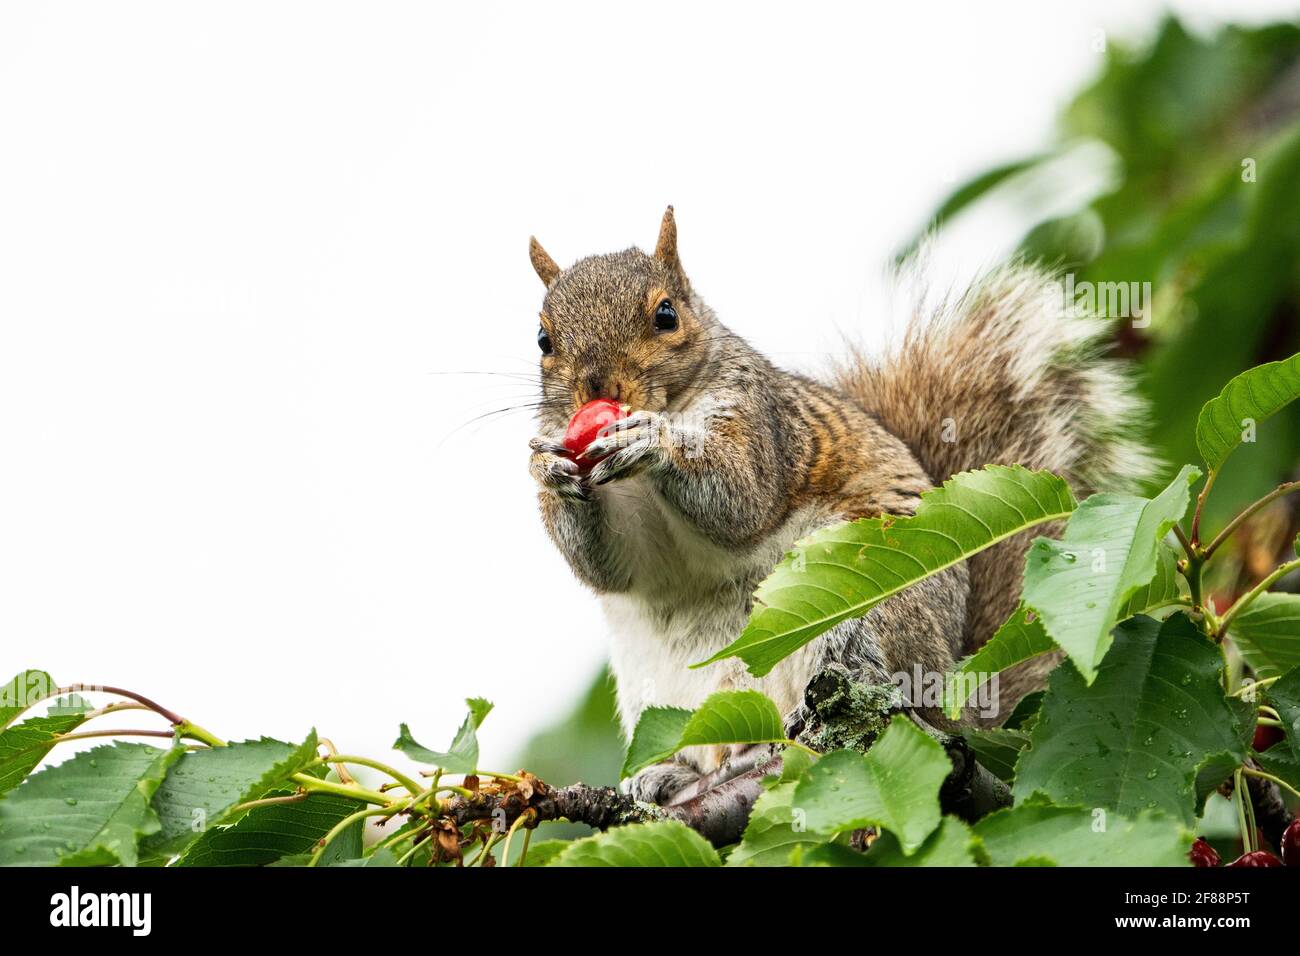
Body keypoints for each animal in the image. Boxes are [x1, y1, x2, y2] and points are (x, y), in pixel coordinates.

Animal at [526, 207, 1154, 805]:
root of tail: (959, 699)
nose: (598, 389)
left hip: (864, 615)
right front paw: (549, 471)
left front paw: (651, 440)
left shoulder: (763, 423)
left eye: (666, 315)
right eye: (542, 339)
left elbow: (740, 498)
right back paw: (676, 773)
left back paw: (773, 746)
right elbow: (609, 566)